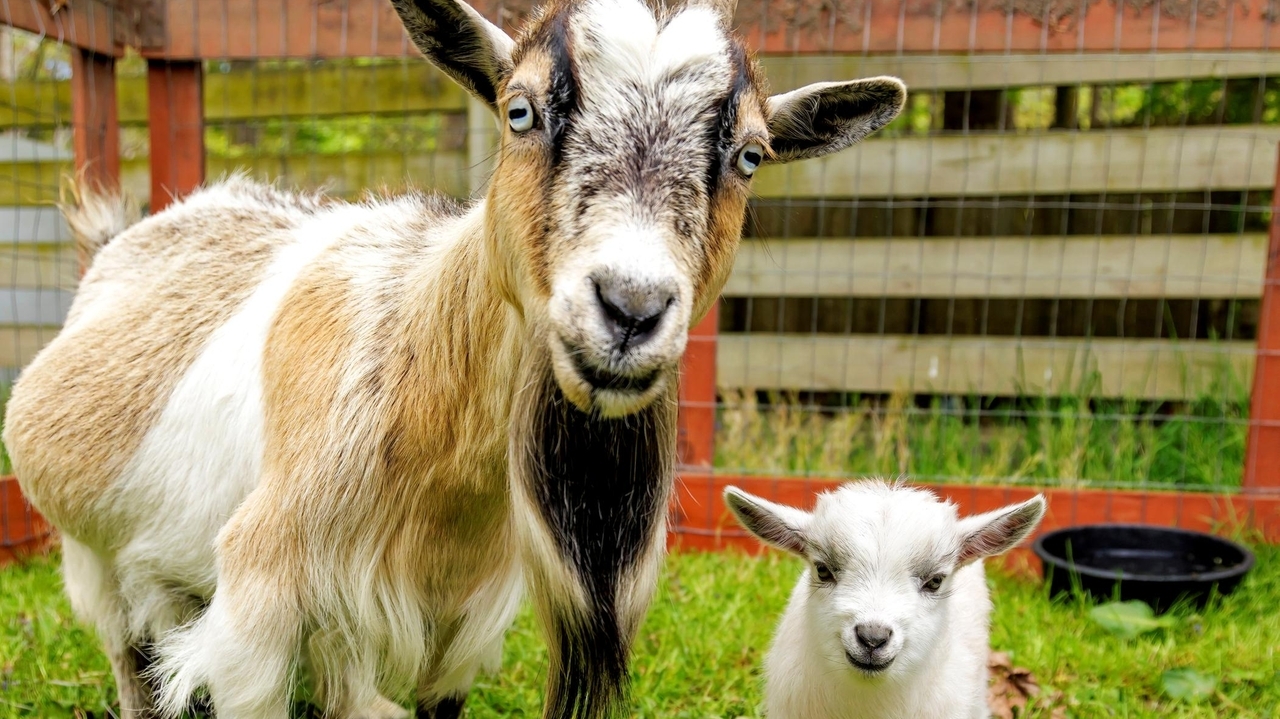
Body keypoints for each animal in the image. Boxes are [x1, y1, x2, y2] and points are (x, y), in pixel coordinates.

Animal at [3, 0, 906, 716]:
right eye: (520, 111)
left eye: (749, 155)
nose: (629, 307)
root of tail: (119, 236)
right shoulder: (257, 608)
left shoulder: (461, 625)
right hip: (96, 562)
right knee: (131, 662)